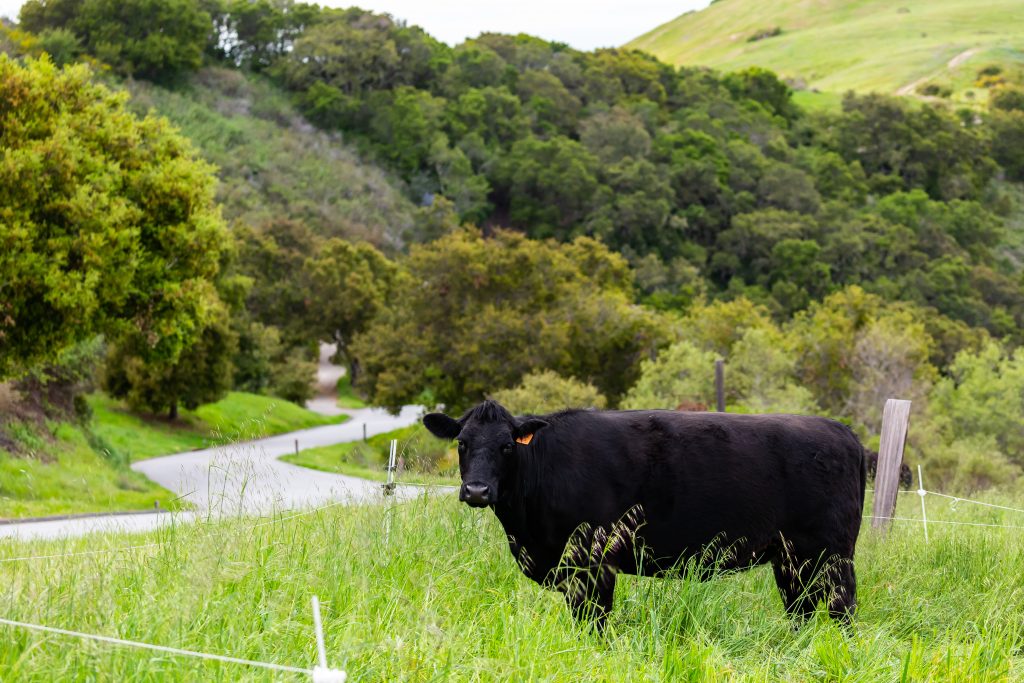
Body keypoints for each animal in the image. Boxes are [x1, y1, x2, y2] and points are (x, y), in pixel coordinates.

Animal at [424, 400, 866, 630]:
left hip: (832, 555)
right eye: (462, 443)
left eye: (507, 446)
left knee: (841, 608)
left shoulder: (593, 563)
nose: (477, 490)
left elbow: (595, 621)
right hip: (790, 559)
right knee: (801, 609)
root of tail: (843, 432)